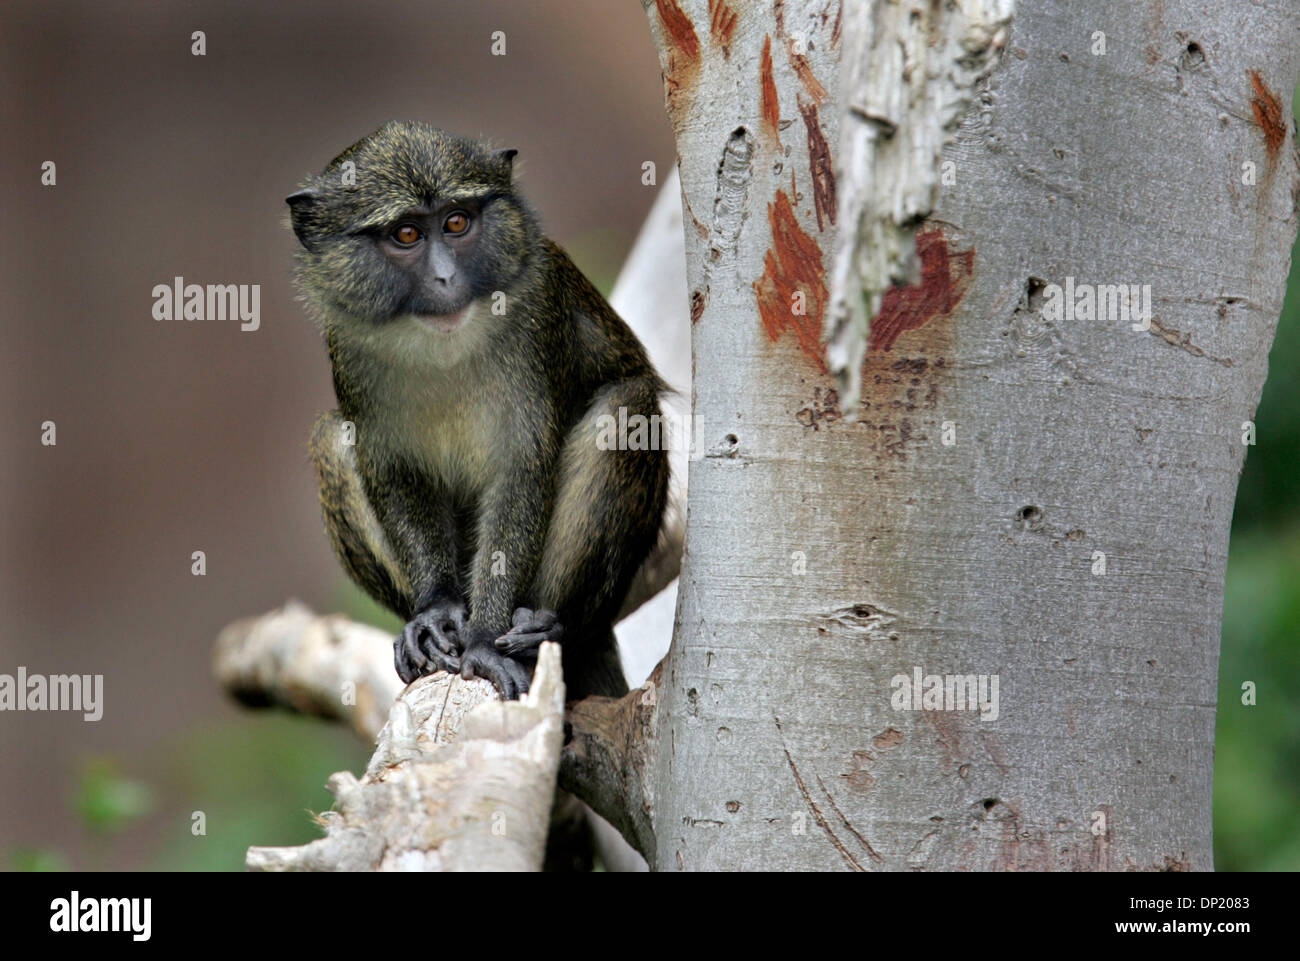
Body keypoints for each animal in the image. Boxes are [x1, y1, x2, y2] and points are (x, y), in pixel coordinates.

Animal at [287, 121, 669, 702]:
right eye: (406, 234)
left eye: (457, 222)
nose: (446, 278)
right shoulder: (346, 342)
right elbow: (392, 465)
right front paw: (435, 609)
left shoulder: (537, 308)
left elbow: (521, 468)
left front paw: (487, 639)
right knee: (330, 438)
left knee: (626, 407)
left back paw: (547, 627)